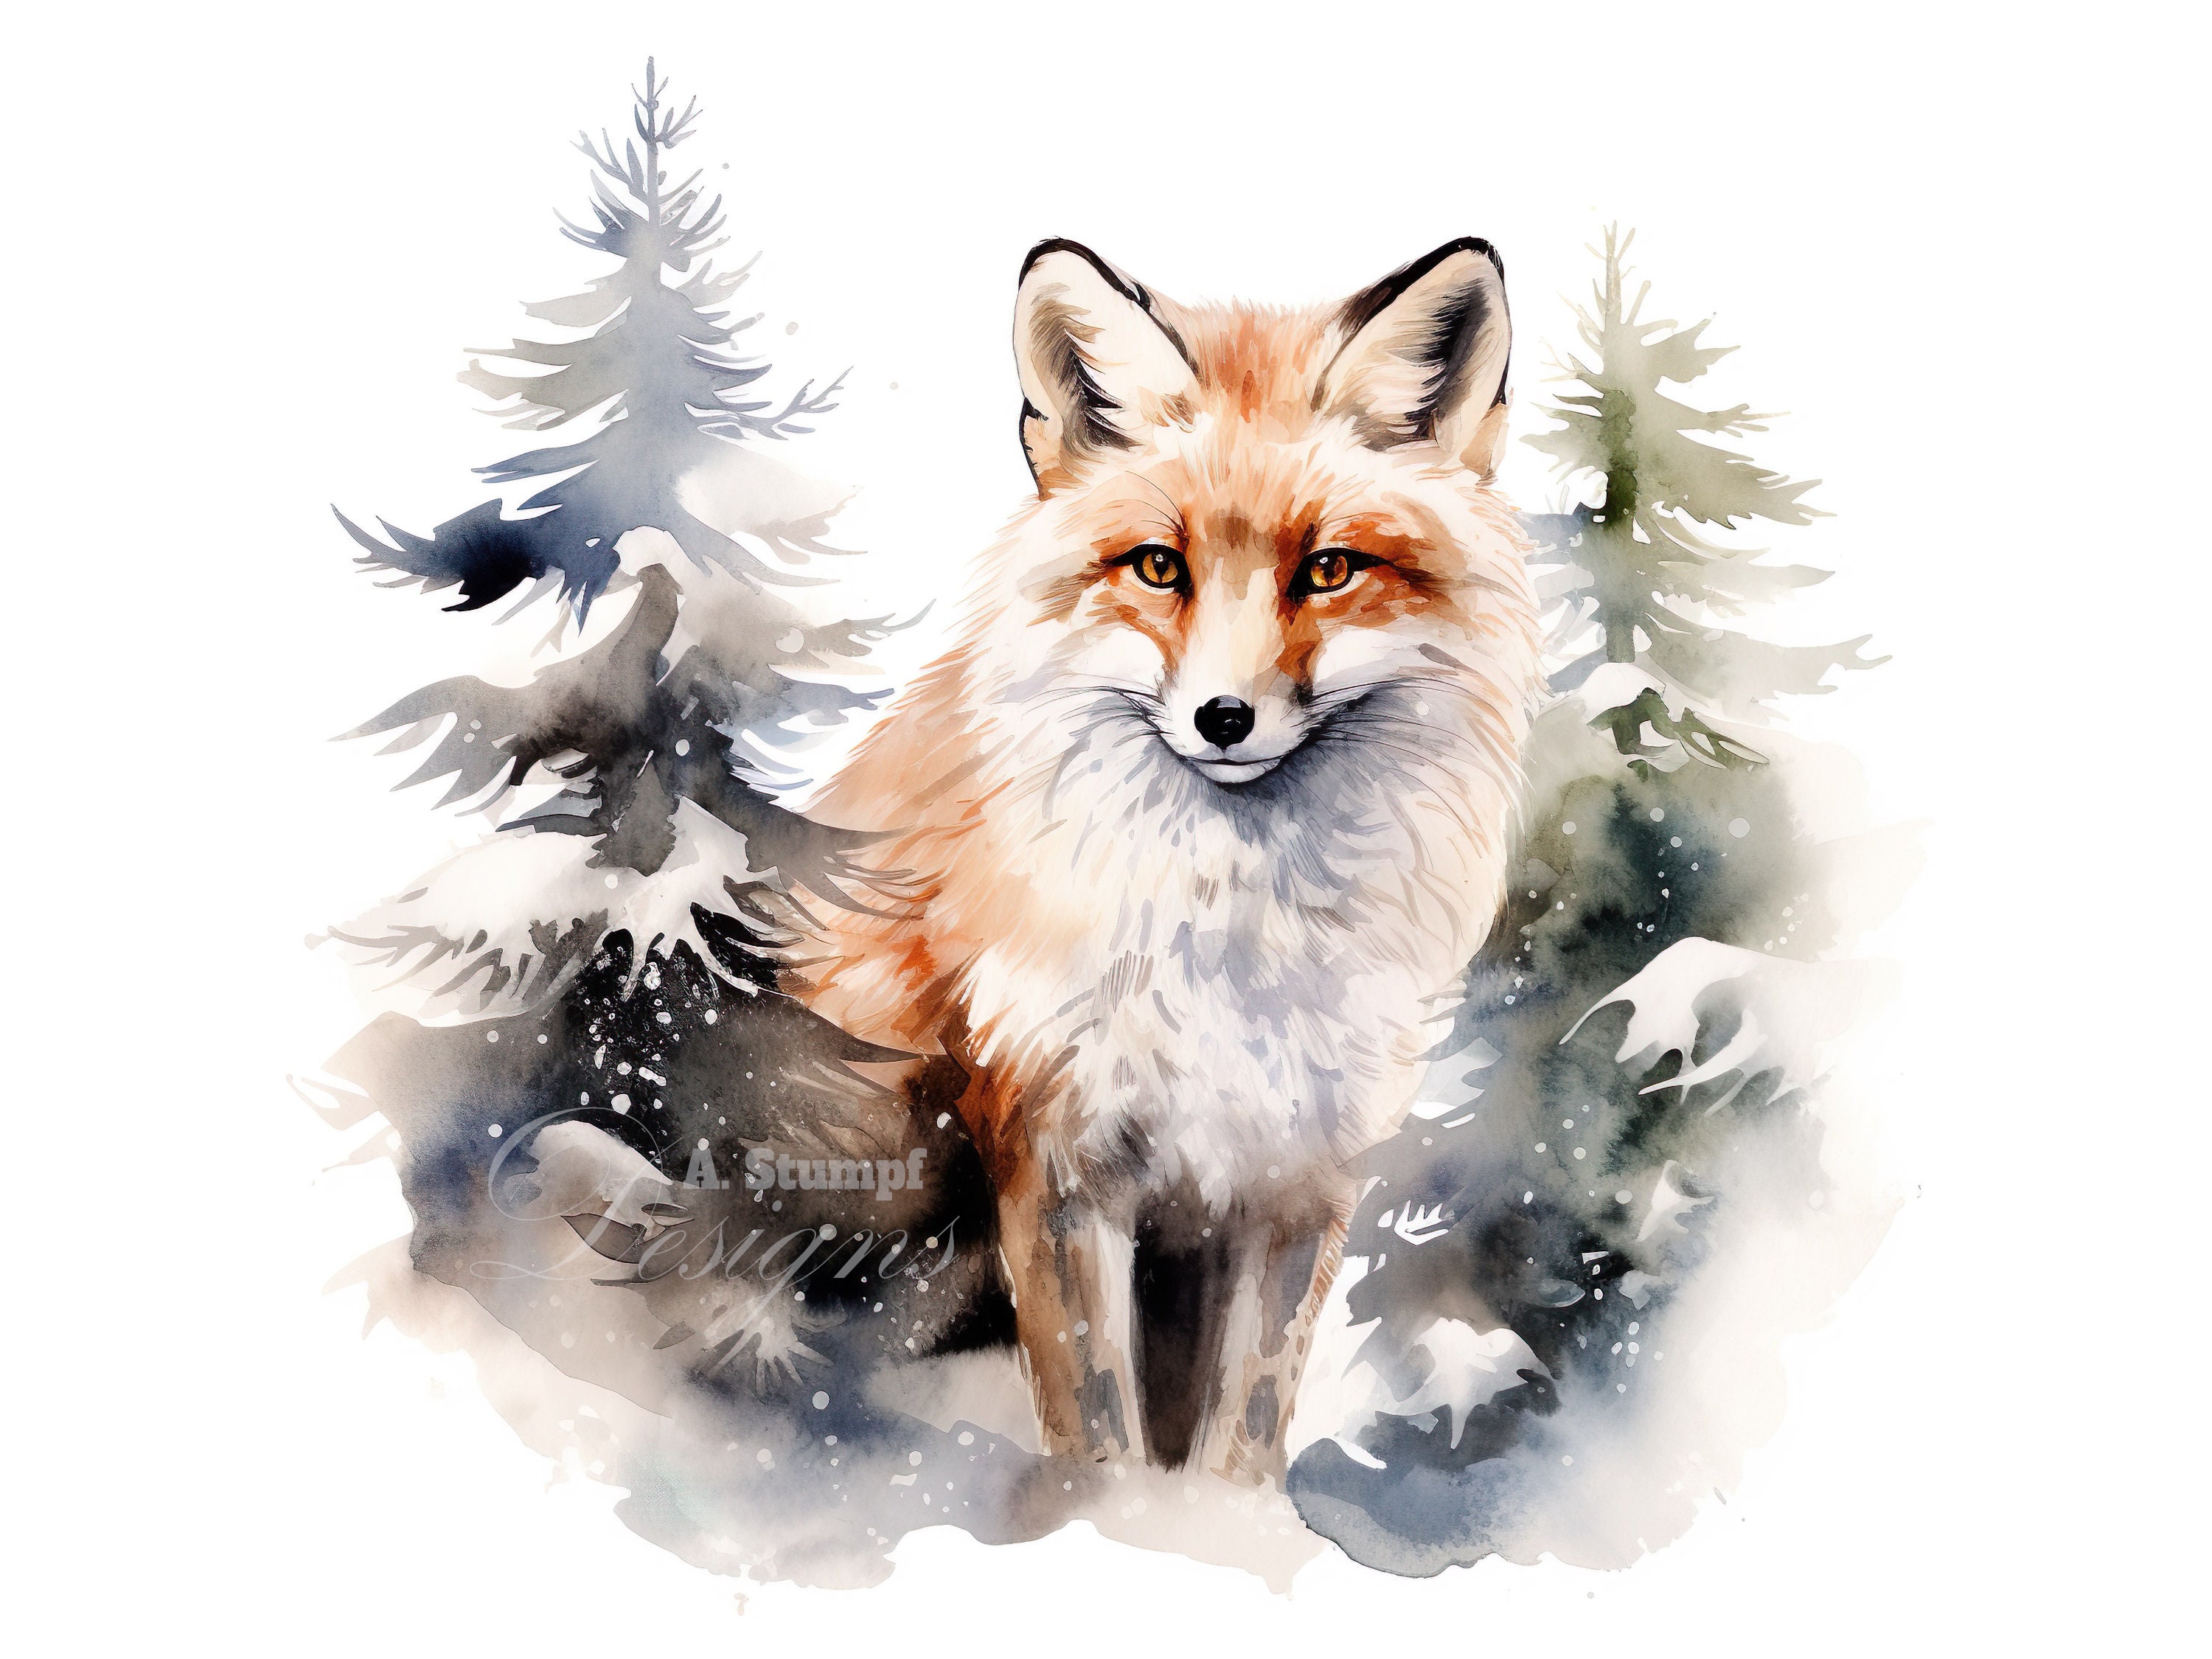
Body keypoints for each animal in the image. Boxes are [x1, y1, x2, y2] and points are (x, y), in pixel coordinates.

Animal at [793, 237, 1542, 1484]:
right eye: (1158, 566)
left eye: (1328, 569)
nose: (1224, 719)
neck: (1233, 940)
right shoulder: (1057, 1158)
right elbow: (1099, 1432)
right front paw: (1113, 1520)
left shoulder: (1293, 1174)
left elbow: (1240, 1438)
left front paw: (1225, 1525)